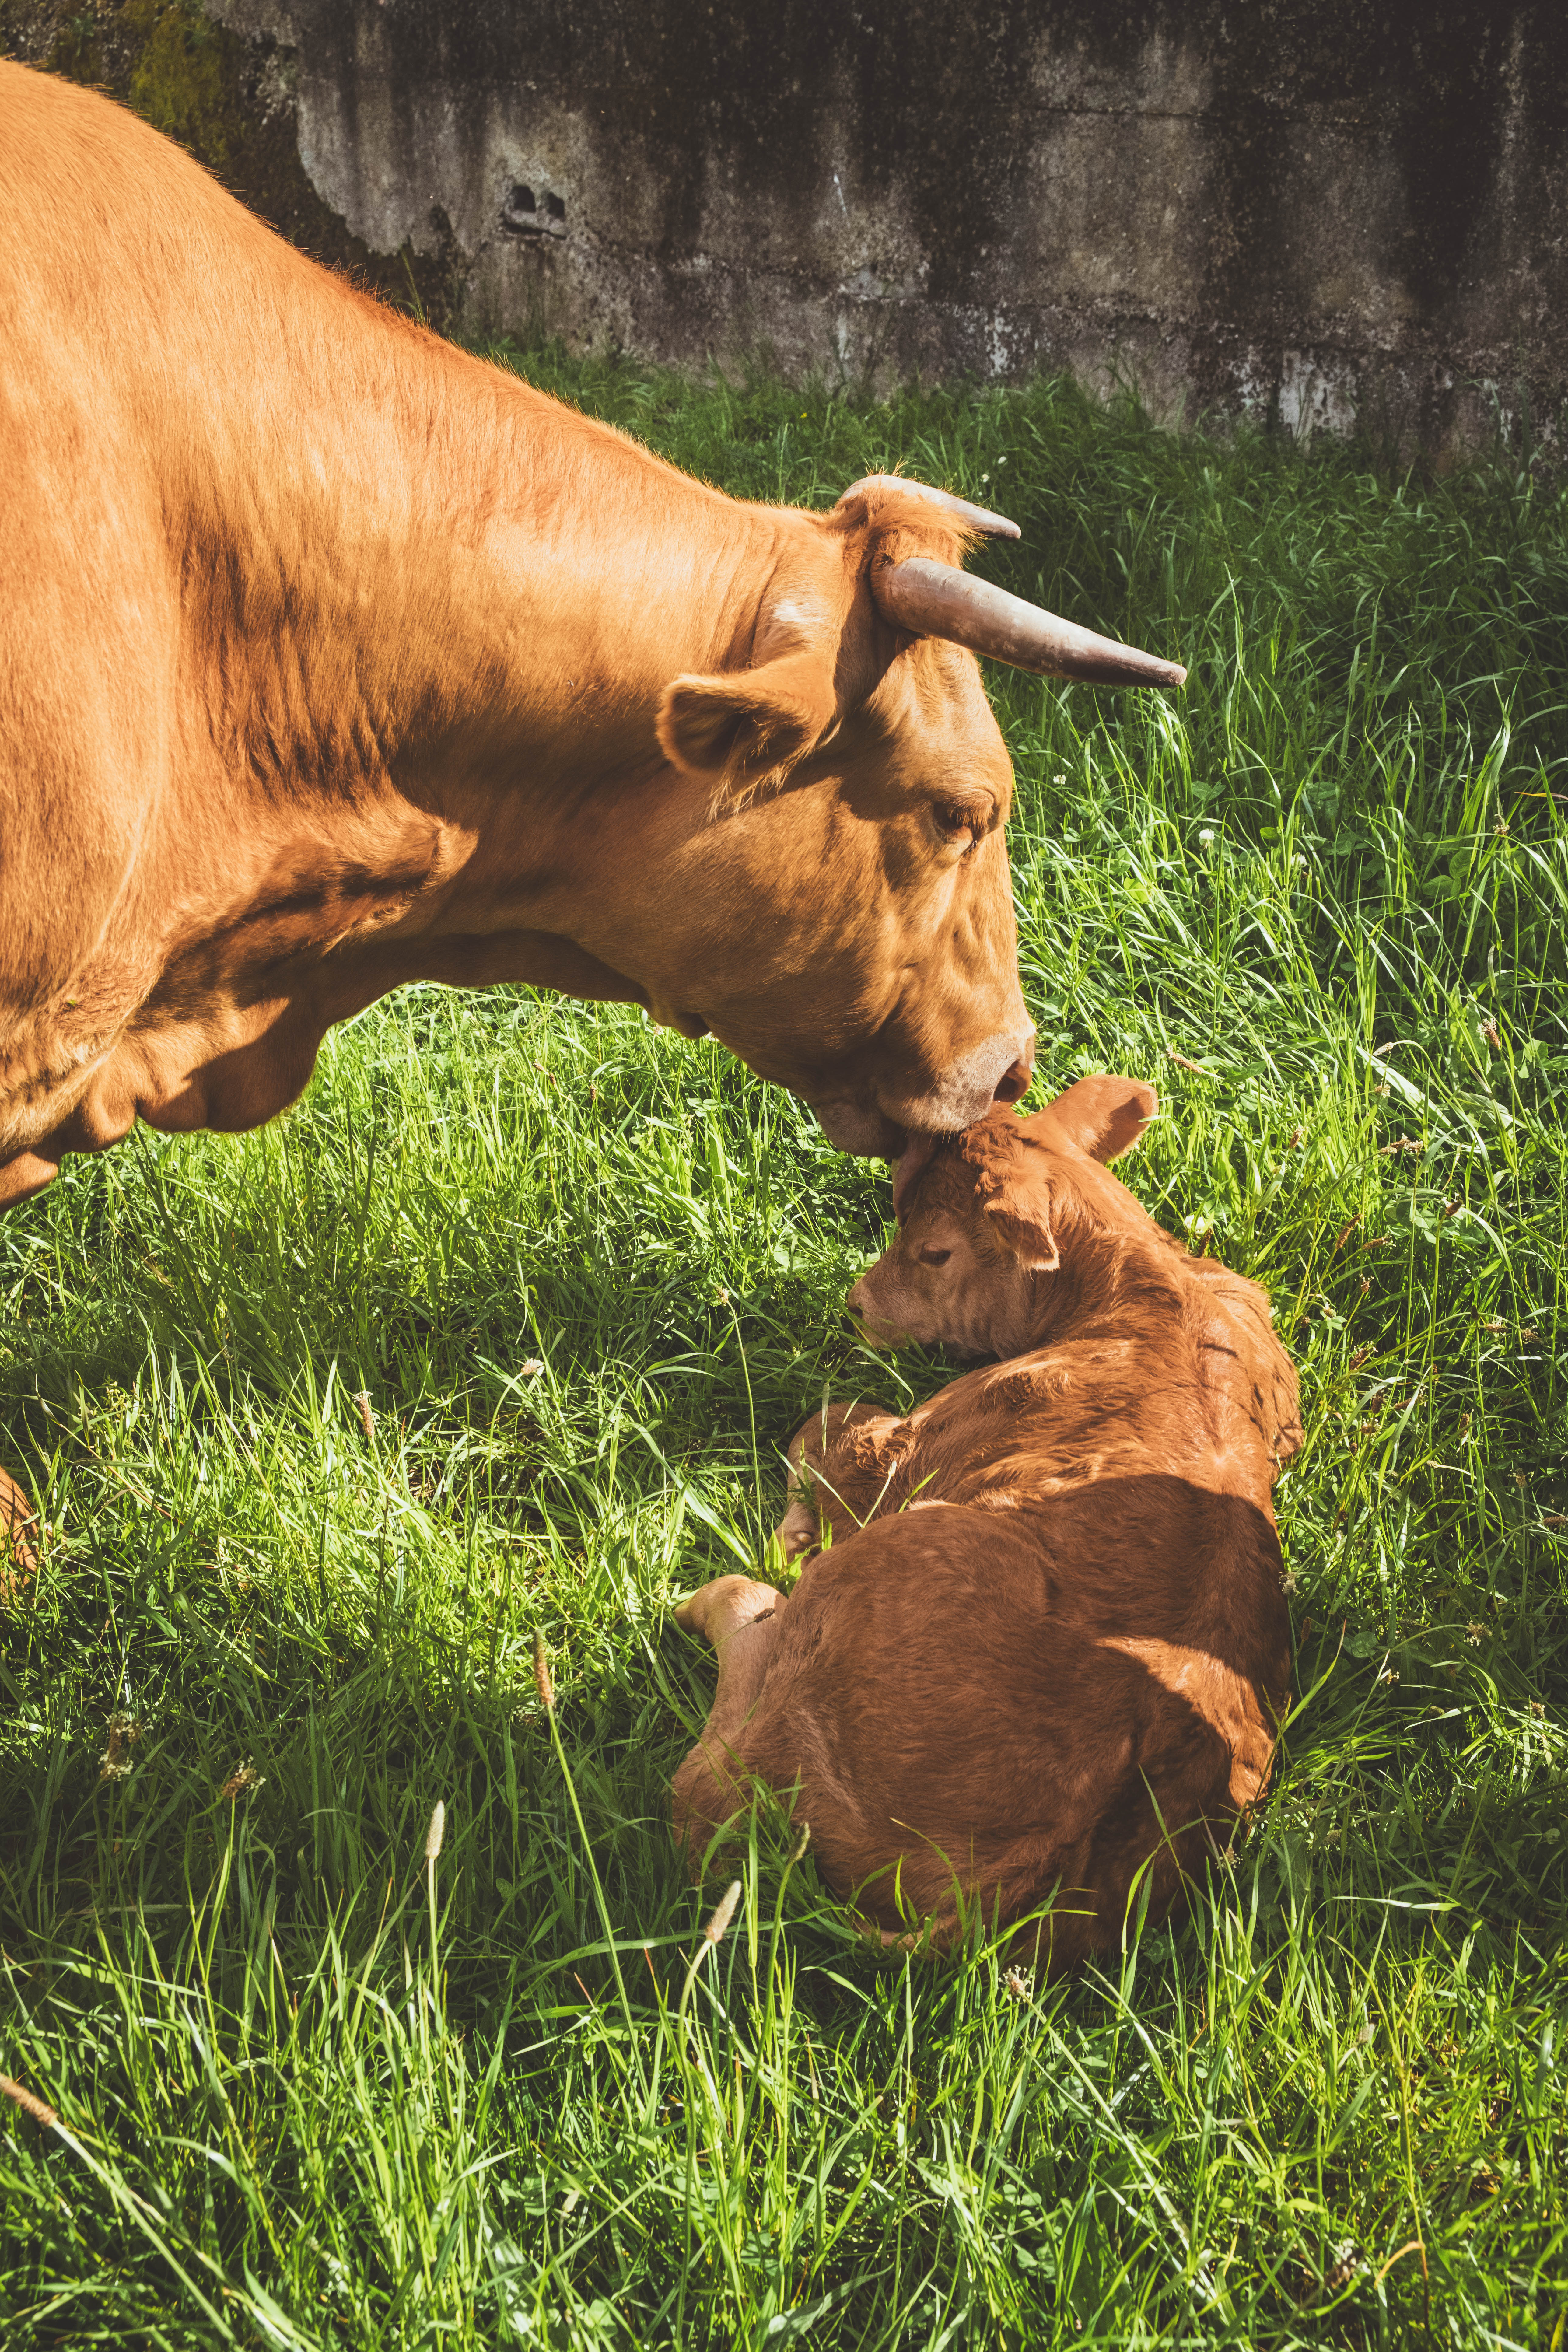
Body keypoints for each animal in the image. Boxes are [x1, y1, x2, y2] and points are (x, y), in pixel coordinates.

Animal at [672, 1078, 1301, 1968]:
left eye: (937, 1252)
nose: (858, 1306)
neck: (1146, 1287)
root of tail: (1013, 1885)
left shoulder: (904, 1453)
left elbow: (827, 1428)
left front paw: (791, 1528)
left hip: (885, 1563)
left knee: (705, 1799)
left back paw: (734, 1601)